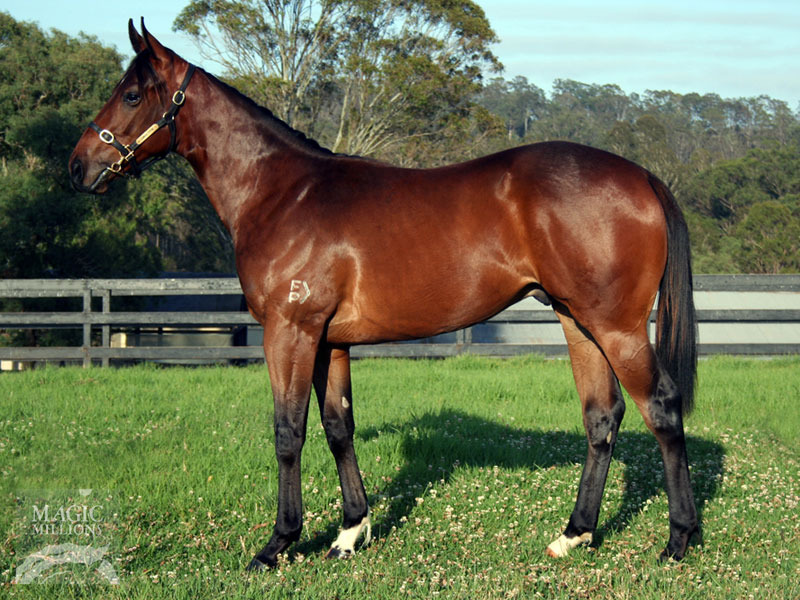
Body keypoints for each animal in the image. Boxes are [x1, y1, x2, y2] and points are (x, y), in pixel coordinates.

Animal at [69, 20, 699, 570]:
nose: (77, 167)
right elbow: (337, 425)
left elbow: (288, 431)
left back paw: (678, 540)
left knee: (661, 407)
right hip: (577, 320)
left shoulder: (290, 332)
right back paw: (575, 534)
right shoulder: (329, 341)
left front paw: (279, 543)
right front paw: (350, 531)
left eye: (131, 94)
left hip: (615, 325)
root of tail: (642, 176)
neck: (284, 193)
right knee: (603, 416)